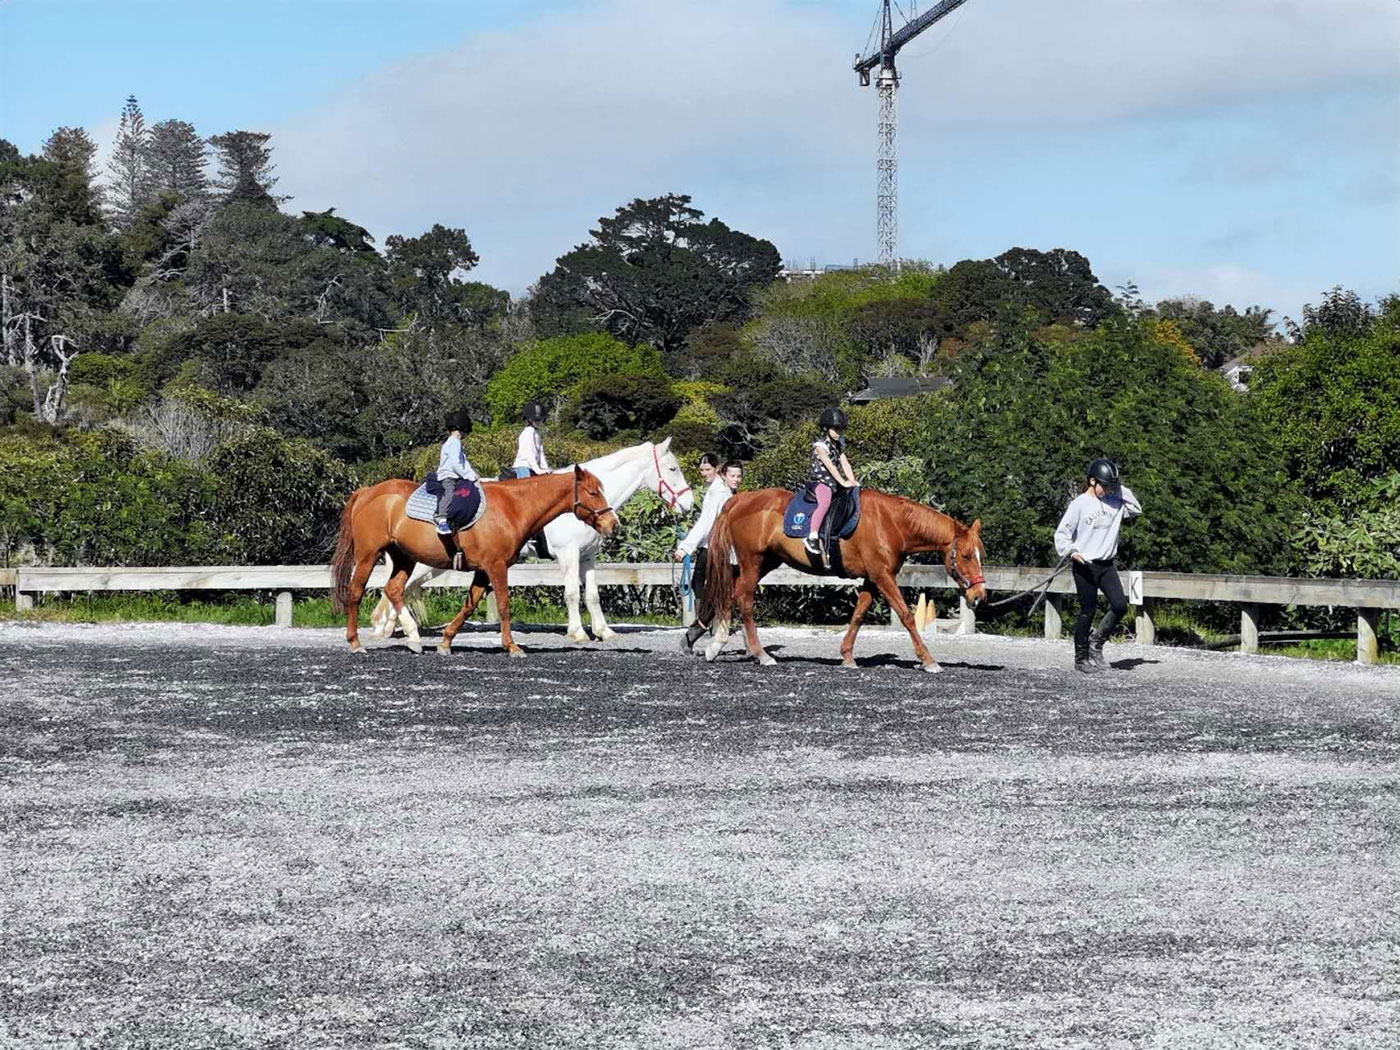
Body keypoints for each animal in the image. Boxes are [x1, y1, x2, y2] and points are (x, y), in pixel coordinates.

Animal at [329, 466, 617, 657]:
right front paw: (512, 646)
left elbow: (469, 605)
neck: (513, 507)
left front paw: (445, 643)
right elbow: (503, 605)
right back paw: (355, 643)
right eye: (592, 492)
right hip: (367, 556)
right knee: (356, 592)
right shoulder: (496, 567)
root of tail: (368, 492)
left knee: (394, 589)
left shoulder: (483, 570)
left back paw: (414, 637)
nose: (612, 524)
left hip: (404, 558)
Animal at [367, 438, 694, 644]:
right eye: (673, 469)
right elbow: (572, 594)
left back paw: (393, 627)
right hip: (426, 563)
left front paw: (604, 631)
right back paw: (385, 628)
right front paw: (578, 633)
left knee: (399, 589)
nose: (689, 504)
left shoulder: (588, 557)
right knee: (393, 590)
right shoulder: (569, 555)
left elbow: (592, 595)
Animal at [699, 487, 988, 673]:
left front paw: (847, 656)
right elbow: (906, 616)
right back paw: (761, 654)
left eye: (979, 555)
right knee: (745, 601)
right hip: (752, 561)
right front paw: (928, 660)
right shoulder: (883, 577)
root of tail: (739, 500)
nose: (979, 596)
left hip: (765, 562)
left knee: (730, 594)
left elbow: (858, 615)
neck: (892, 523)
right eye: (965, 555)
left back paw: (717, 646)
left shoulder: (873, 579)